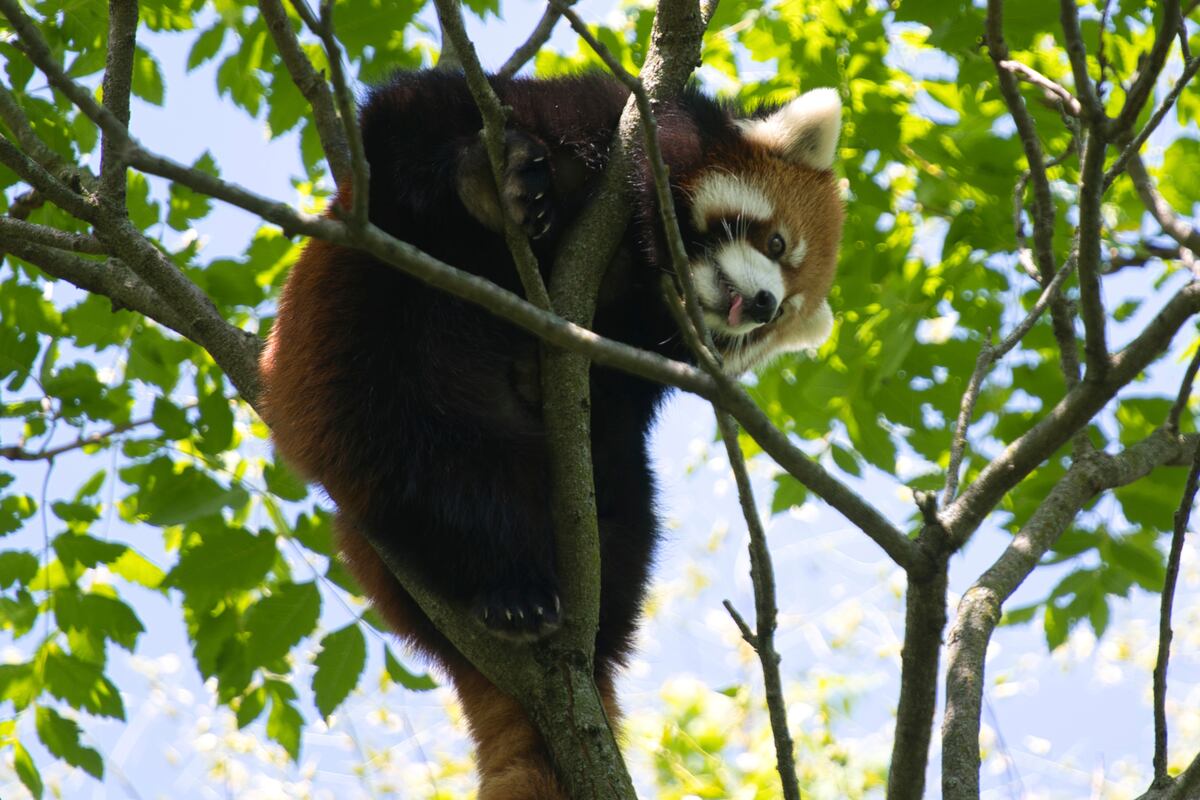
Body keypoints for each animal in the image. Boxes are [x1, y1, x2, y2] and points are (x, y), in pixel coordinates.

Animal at [259, 70, 843, 799]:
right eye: (777, 245)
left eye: (784, 313)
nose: (763, 305)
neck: (640, 252)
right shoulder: (587, 116)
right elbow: (406, 126)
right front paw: (488, 179)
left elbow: (618, 383)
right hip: (372, 373)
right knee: (447, 465)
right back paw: (510, 584)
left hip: (602, 488)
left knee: (588, 498)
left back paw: (548, 607)